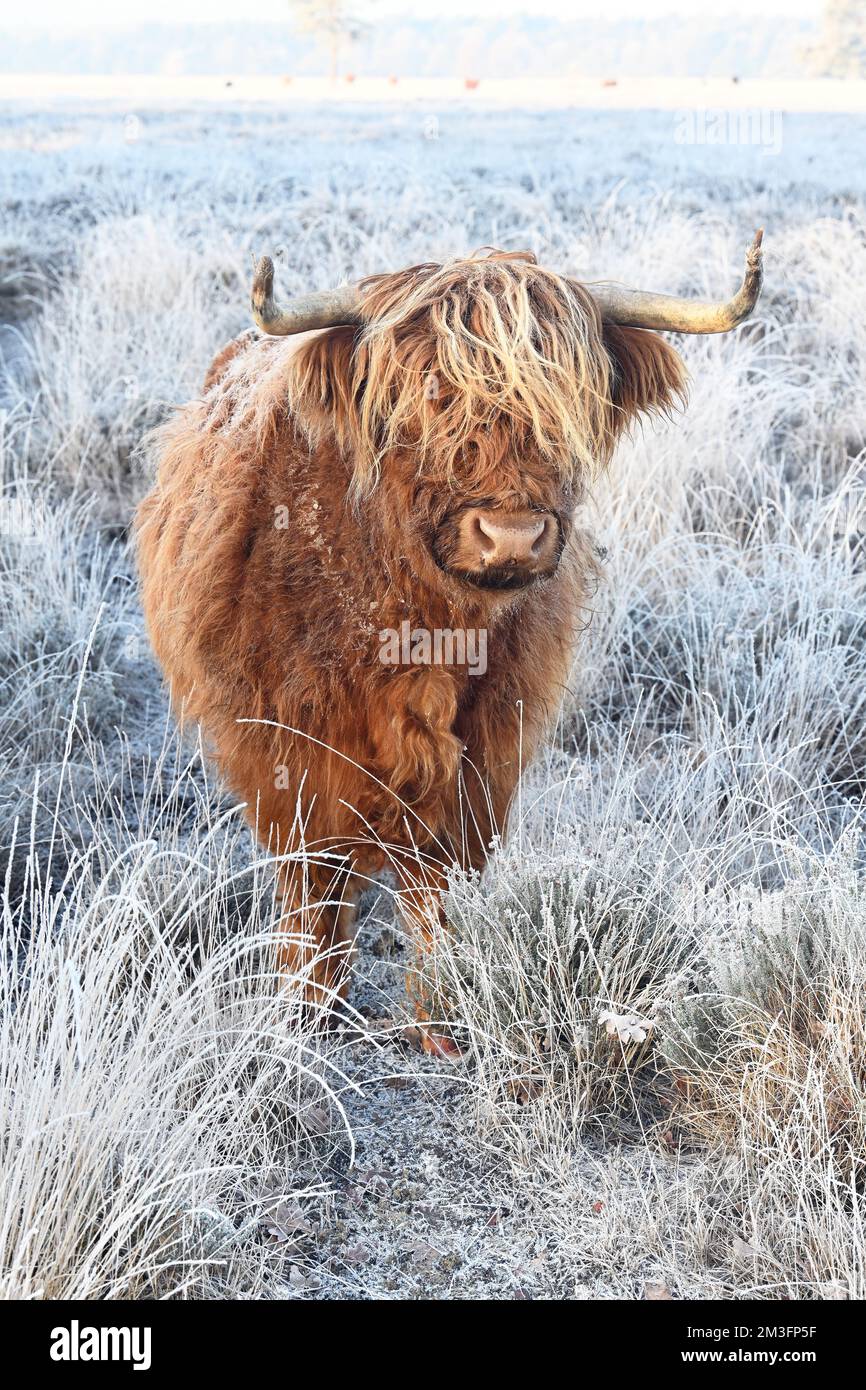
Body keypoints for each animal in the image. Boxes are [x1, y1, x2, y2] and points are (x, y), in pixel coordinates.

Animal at [136, 233, 763, 1054]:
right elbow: (311, 885)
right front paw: (306, 1015)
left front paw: (440, 1022)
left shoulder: (480, 758)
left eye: (564, 402)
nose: (512, 536)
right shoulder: (287, 752)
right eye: (428, 395)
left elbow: (436, 890)